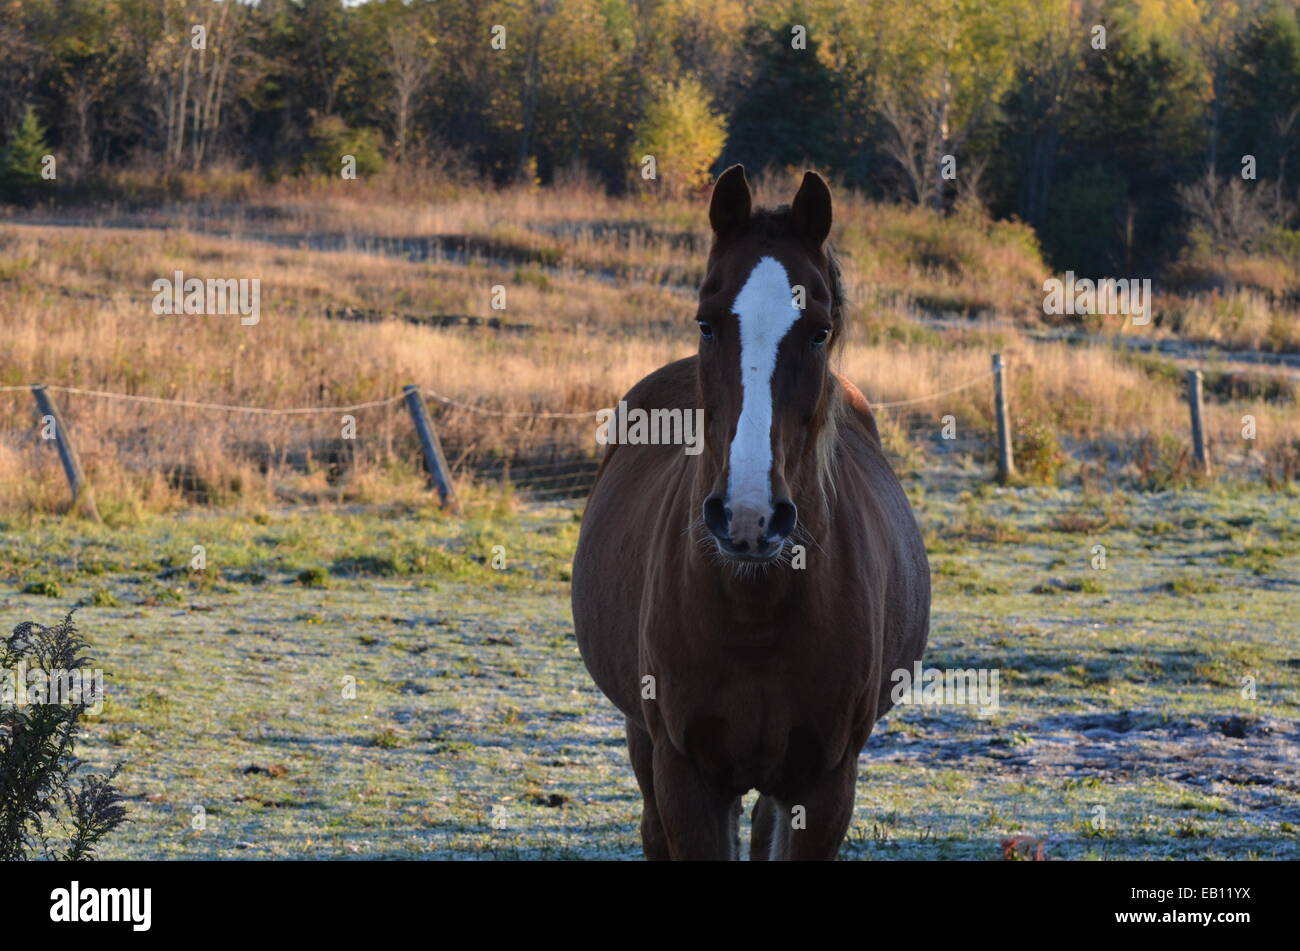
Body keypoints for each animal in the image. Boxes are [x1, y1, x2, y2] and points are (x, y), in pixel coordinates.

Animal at [570, 165, 930, 860]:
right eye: (707, 322)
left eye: (819, 329)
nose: (748, 517)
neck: (755, 610)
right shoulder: (684, 773)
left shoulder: (824, 782)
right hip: (643, 739)